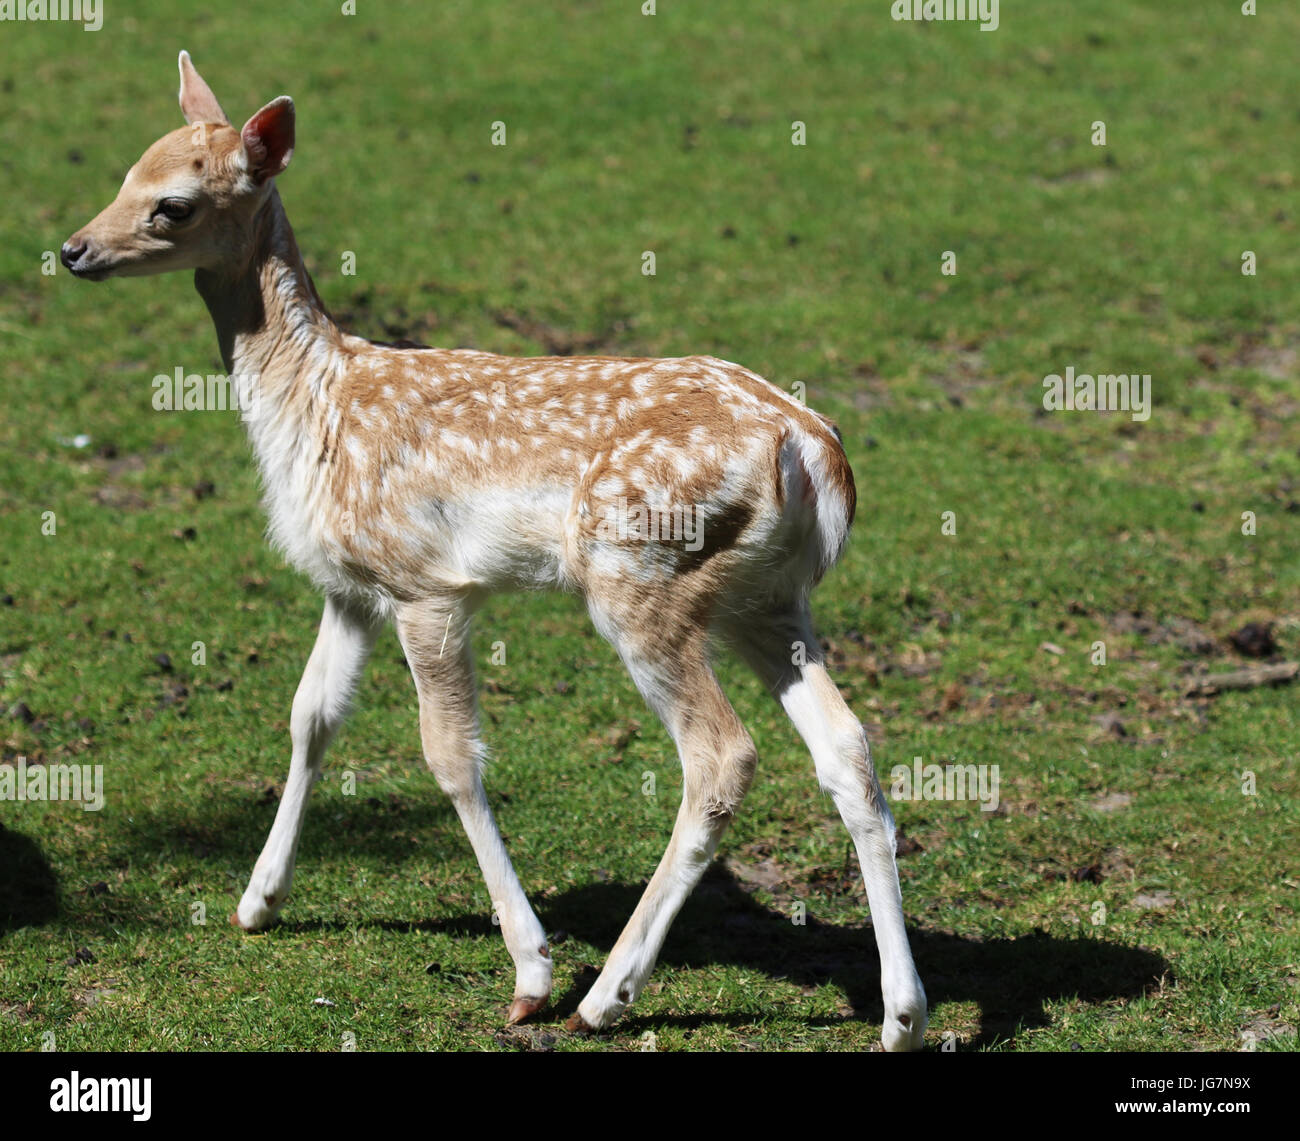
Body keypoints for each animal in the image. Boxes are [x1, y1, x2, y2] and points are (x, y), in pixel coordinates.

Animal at [61, 52, 928, 1050]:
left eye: (174, 204)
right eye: (128, 169)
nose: (73, 249)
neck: (317, 407)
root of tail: (812, 450)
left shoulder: (424, 581)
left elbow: (450, 755)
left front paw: (530, 970)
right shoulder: (351, 585)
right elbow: (310, 714)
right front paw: (256, 901)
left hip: (641, 575)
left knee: (721, 756)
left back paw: (604, 994)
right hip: (767, 596)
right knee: (848, 747)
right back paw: (903, 1012)